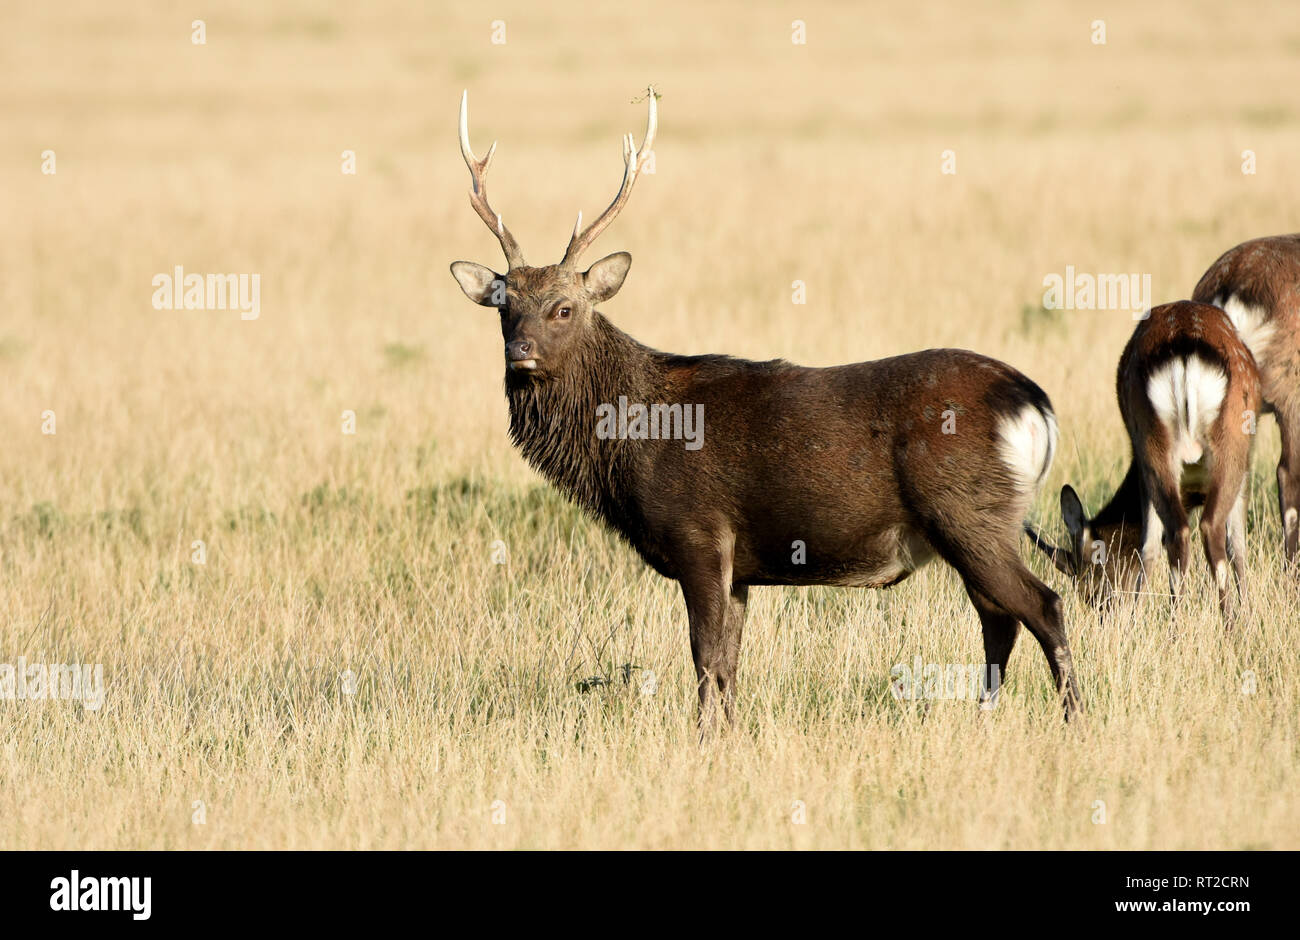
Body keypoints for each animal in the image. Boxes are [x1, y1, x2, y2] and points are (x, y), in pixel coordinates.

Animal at [448, 87, 1082, 727]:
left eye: (564, 308)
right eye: (504, 304)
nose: (520, 351)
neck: (633, 442)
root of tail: (1034, 403)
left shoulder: (700, 531)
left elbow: (705, 657)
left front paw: (703, 738)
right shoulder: (739, 566)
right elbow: (729, 664)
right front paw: (729, 733)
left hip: (967, 510)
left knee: (1044, 605)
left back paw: (1073, 717)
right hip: (980, 521)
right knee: (999, 619)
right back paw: (985, 715)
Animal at [1025, 301, 1262, 626]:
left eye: (1092, 585)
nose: (1105, 616)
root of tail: (1184, 347)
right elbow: (1235, 545)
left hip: (1166, 447)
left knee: (1181, 534)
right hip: (1202, 445)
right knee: (1189, 532)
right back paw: (1206, 625)